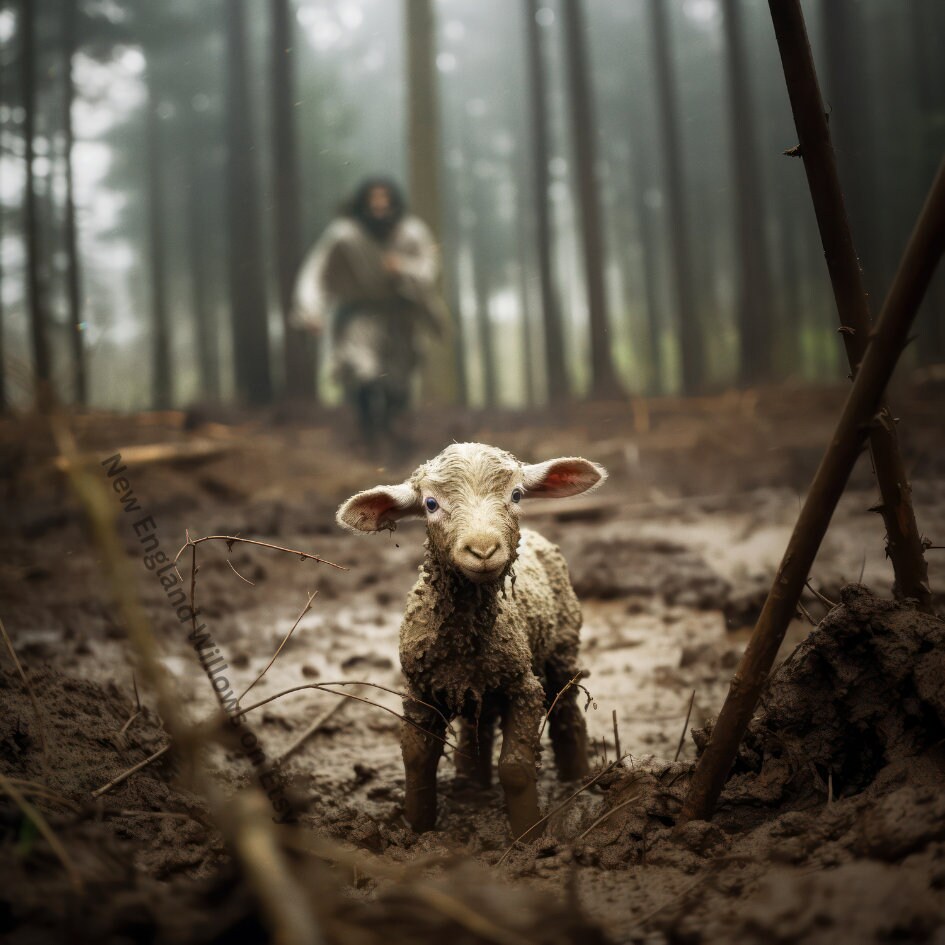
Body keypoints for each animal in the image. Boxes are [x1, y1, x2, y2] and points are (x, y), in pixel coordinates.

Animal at [337, 442, 606, 837]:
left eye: (516, 494)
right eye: (431, 504)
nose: (482, 550)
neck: (464, 640)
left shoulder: (523, 686)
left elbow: (515, 768)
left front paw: (528, 835)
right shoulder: (420, 690)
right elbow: (416, 759)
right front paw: (417, 828)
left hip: (561, 648)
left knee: (567, 710)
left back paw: (578, 779)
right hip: (479, 682)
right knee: (478, 722)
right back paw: (471, 782)